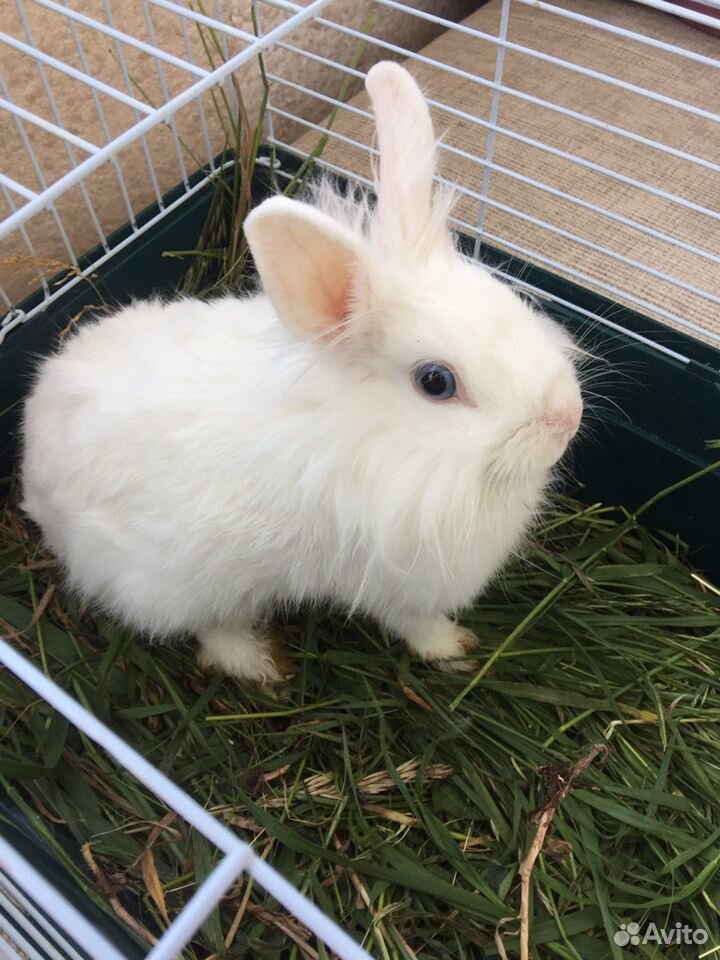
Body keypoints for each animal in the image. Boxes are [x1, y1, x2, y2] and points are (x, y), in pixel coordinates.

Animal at [21, 62, 582, 684]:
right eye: (436, 382)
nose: (566, 417)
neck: (381, 440)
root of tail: (31, 465)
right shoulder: (396, 581)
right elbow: (415, 624)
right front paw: (456, 649)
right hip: (177, 581)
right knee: (206, 627)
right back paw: (260, 664)